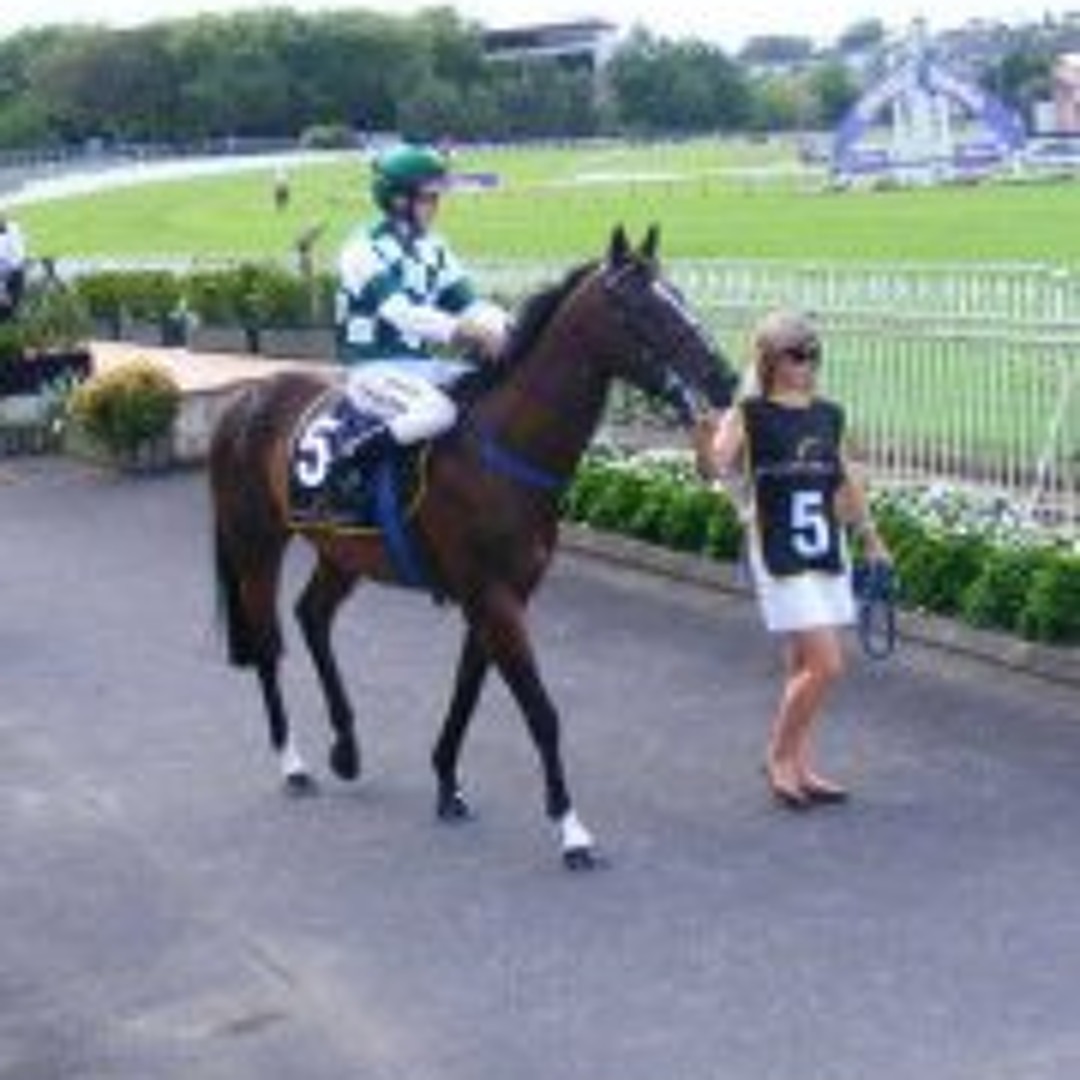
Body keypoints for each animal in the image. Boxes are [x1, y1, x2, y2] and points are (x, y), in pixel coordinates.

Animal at [209, 225, 735, 870]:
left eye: (677, 294)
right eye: (640, 308)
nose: (726, 378)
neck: (504, 451)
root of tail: (245, 397)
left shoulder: (497, 597)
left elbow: (467, 691)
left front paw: (447, 785)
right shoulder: (493, 597)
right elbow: (539, 710)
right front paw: (571, 828)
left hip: (342, 553)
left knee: (312, 617)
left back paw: (346, 748)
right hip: (255, 543)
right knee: (267, 644)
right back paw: (293, 763)